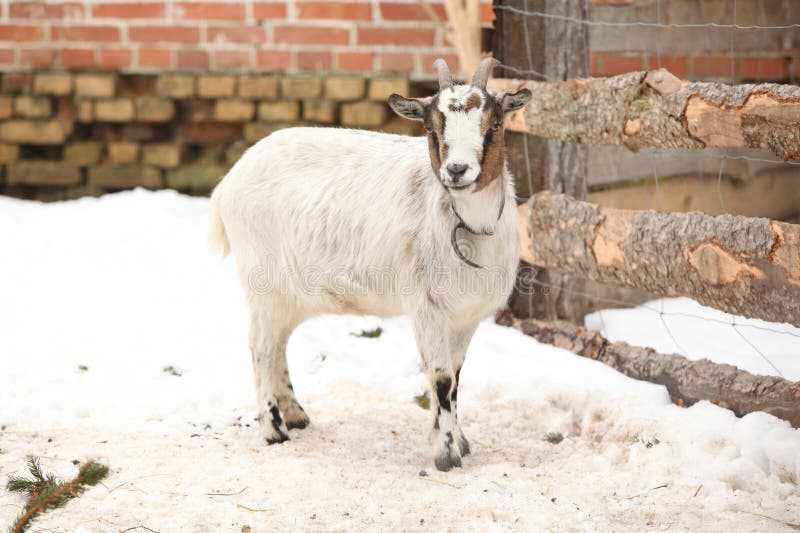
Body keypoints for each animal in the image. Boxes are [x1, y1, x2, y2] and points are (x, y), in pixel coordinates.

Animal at [209, 57, 532, 471]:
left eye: (494, 125)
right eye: (431, 127)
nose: (457, 170)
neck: (469, 224)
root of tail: (227, 183)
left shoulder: (466, 316)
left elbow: (457, 378)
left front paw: (460, 441)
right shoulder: (425, 307)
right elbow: (441, 379)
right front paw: (446, 454)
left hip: (292, 296)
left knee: (277, 343)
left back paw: (295, 415)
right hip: (263, 281)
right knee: (260, 346)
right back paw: (273, 429)